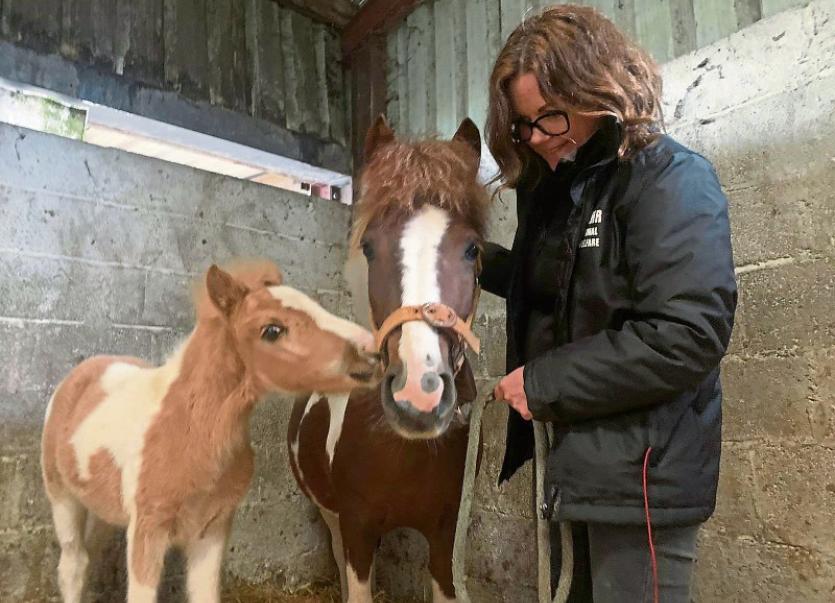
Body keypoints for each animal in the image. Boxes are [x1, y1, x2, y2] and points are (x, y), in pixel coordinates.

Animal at [41, 260, 379, 603]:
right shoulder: (148, 527)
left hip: (102, 506)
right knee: (73, 563)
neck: (191, 432)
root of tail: (87, 368)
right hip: (61, 495)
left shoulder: (213, 528)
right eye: (272, 330)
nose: (371, 350)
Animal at [288, 116, 489, 602]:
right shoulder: (357, 530)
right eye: (369, 247)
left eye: (472, 249)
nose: (419, 392)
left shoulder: (446, 541)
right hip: (330, 515)